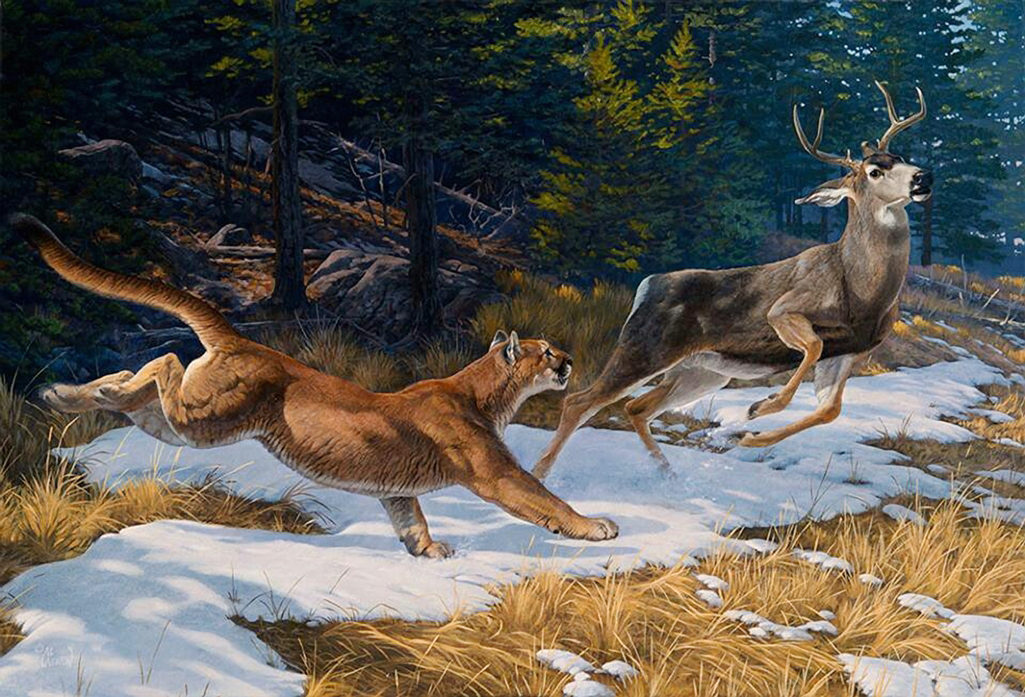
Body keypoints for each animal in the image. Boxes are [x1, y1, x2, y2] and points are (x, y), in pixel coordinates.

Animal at [10, 214, 618, 557]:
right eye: (548, 352)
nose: (570, 361)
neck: (484, 392)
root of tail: (242, 339)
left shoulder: (397, 488)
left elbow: (411, 518)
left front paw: (428, 552)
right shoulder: (493, 473)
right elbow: (542, 498)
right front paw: (596, 526)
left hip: (195, 426)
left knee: (143, 395)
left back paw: (68, 394)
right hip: (208, 416)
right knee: (163, 362)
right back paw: (95, 390)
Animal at [533, 81, 931, 481]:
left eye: (901, 156)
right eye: (874, 171)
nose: (922, 177)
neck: (861, 290)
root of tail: (646, 286)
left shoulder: (849, 351)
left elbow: (829, 410)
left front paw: (750, 435)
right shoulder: (783, 310)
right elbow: (813, 347)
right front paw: (758, 407)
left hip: (700, 371)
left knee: (637, 407)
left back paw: (667, 472)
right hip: (643, 348)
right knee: (581, 400)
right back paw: (540, 474)